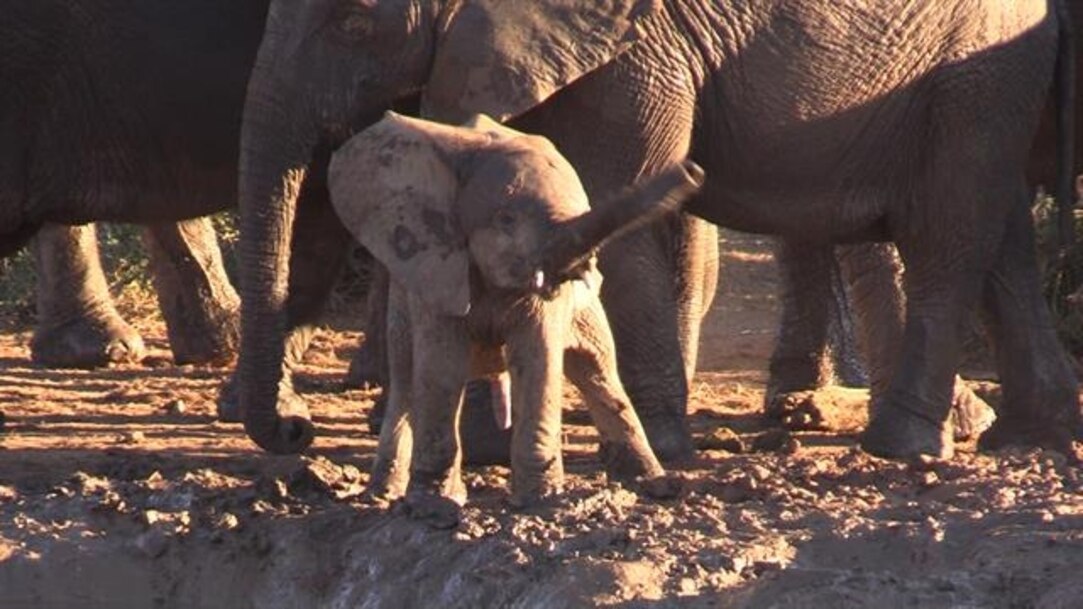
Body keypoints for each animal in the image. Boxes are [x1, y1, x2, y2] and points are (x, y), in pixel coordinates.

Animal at [236, 0, 1080, 462]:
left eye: (353, 20)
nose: (295, 431)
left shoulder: (631, 54)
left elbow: (613, 208)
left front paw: (656, 446)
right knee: (999, 235)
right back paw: (1026, 433)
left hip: (973, 73)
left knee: (948, 233)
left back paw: (904, 444)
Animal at [328, 113, 694, 517]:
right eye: (506, 219)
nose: (692, 170)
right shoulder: (435, 266)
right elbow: (442, 365)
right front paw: (435, 510)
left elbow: (537, 355)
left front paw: (538, 503)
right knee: (407, 381)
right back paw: (382, 496)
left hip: (587, 311)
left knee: (597, 369)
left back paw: (654, 486)